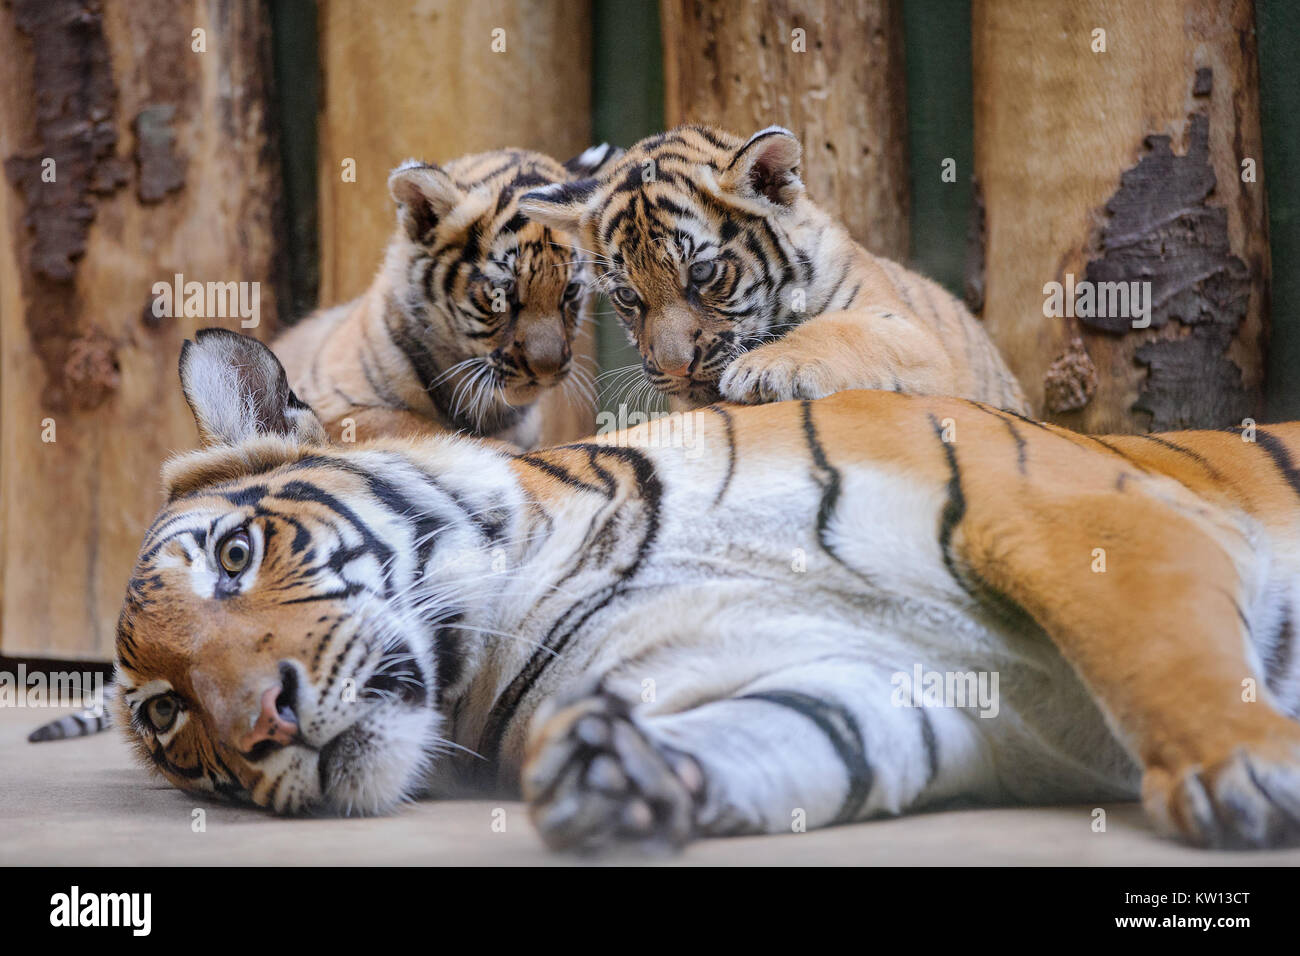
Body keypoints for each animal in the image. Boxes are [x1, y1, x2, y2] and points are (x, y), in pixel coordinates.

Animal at [113, 328, 1300, 852]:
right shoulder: (898, 687)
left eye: (232, 554)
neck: (533, 595)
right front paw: (618, 774)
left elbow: (1159, 654)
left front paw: (1243, 770)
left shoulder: (1059, 509)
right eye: (168, 716)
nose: (262, 723)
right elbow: (795, 735)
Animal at [518, 125, 1029, 416]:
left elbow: (841, 330)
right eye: (627, 295)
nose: (675, 368)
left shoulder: (909, 332)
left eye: (701, 273)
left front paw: (768, 368)